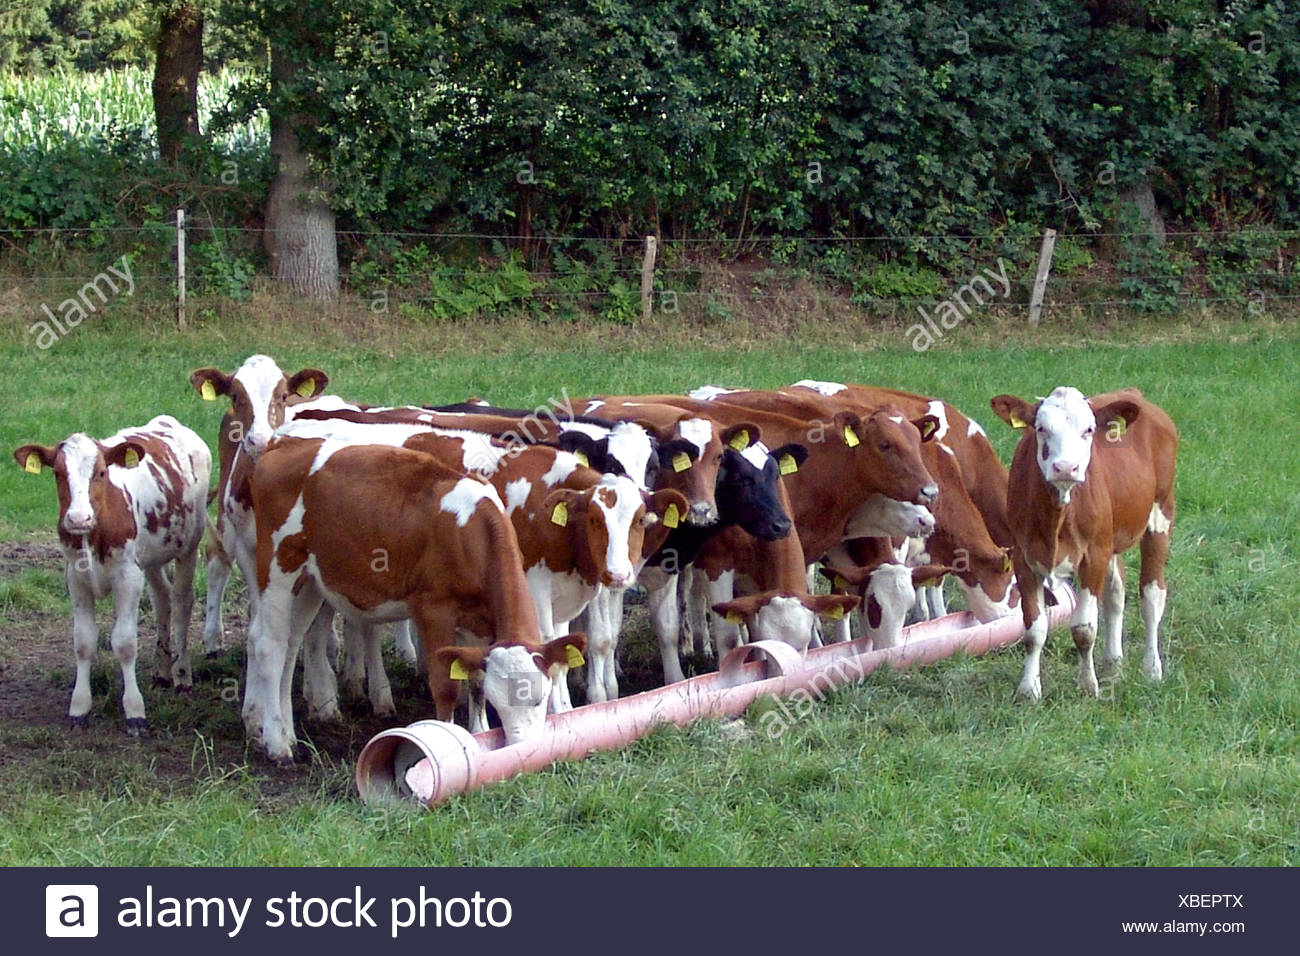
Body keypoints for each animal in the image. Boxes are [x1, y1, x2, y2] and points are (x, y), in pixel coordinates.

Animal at [14, 416, 211, 733]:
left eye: (101, 472)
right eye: (57, 473)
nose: (78, 518)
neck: (94, 533)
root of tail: (168, 421)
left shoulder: (128, 577)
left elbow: (125, 643)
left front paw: (134, 710)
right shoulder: (76, 579)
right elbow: (83, 642)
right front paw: (80, 707)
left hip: (189, 546)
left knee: (182, 602)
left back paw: (182, 675)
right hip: (151, 558)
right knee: (162, 600)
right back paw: (162, 671)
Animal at [990, 386, 1177, 700]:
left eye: (1088, 430)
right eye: (1041, 428)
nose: (1066, 467)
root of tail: (1132, 394)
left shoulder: (1093, 556)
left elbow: (1084, 628)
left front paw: (1088, 686)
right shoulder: (1023, 558)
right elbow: (1034, 629)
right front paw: (1029, 689)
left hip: (1160, 513)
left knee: (1152, 595)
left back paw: (1152, 669)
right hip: (1112, 537)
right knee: (1116, 592)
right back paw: (1113, 665)